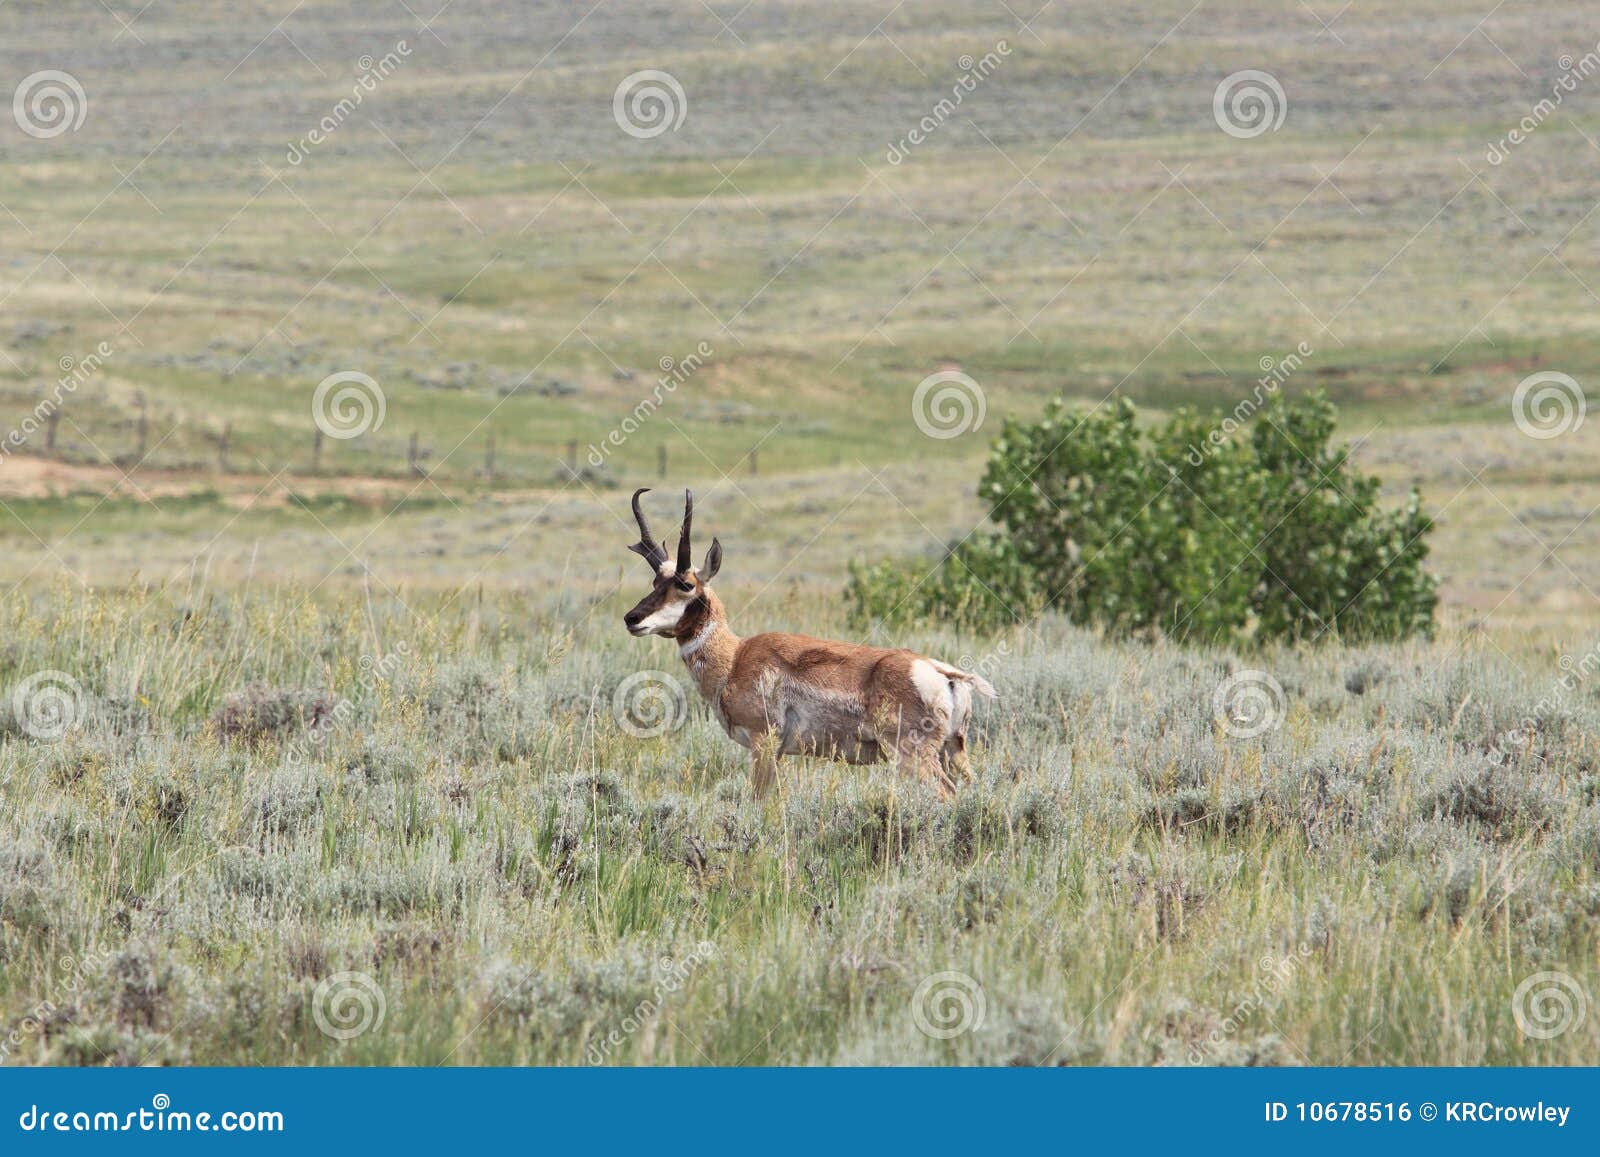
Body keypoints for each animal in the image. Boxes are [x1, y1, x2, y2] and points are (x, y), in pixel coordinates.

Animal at [622, 488, 996, 799]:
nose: (632, 618)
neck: (735, 658)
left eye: (685, 584)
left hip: (912, 756)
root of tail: (940, 672)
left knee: (946, 793)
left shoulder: (763, 743)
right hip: (953, 752)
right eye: (655, 581)